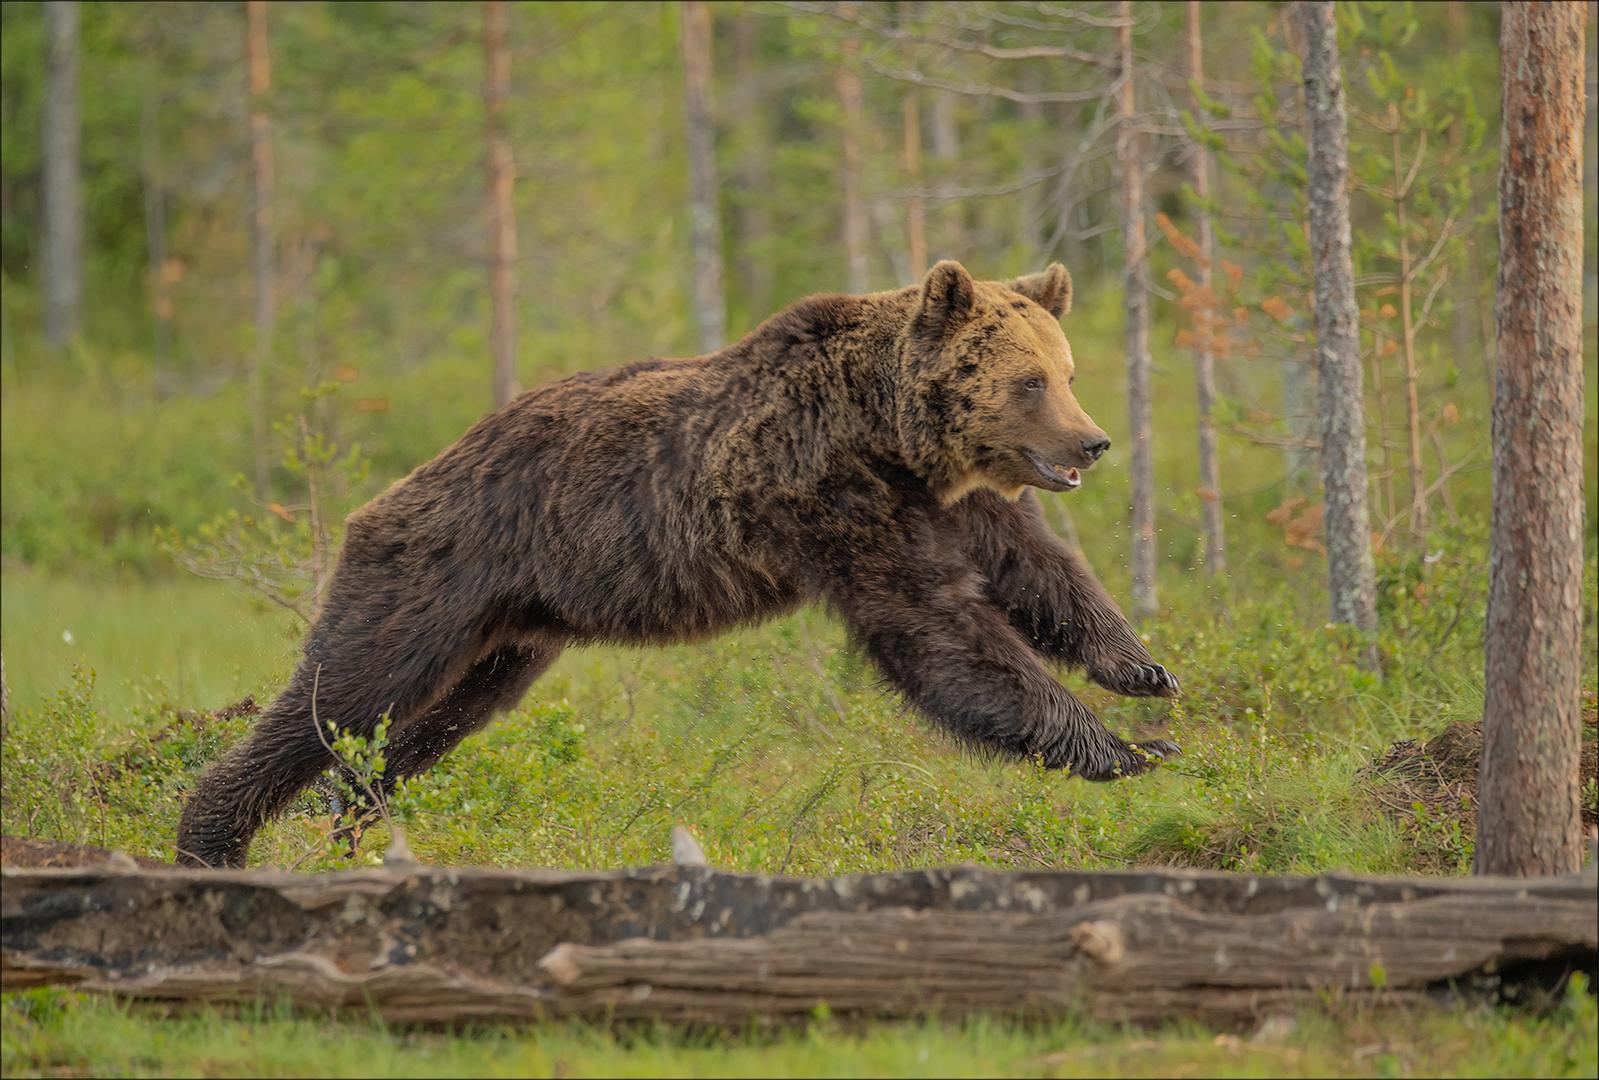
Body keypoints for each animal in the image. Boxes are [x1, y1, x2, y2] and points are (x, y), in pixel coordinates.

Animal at [175, 261, 1180, 869]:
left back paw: (350, 817)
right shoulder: (836, 497)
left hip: (507, 636)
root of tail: (387, 493)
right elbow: (939, 632)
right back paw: (211, 836)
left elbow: (1040, 572)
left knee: (423, 724)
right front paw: (1122, 749)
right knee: (343, 691)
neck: (893, 437)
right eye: (1028, 379)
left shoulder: (958, 502)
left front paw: (1143, 674)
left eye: (1068, 370)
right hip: (428, 575)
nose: (1093, 443)